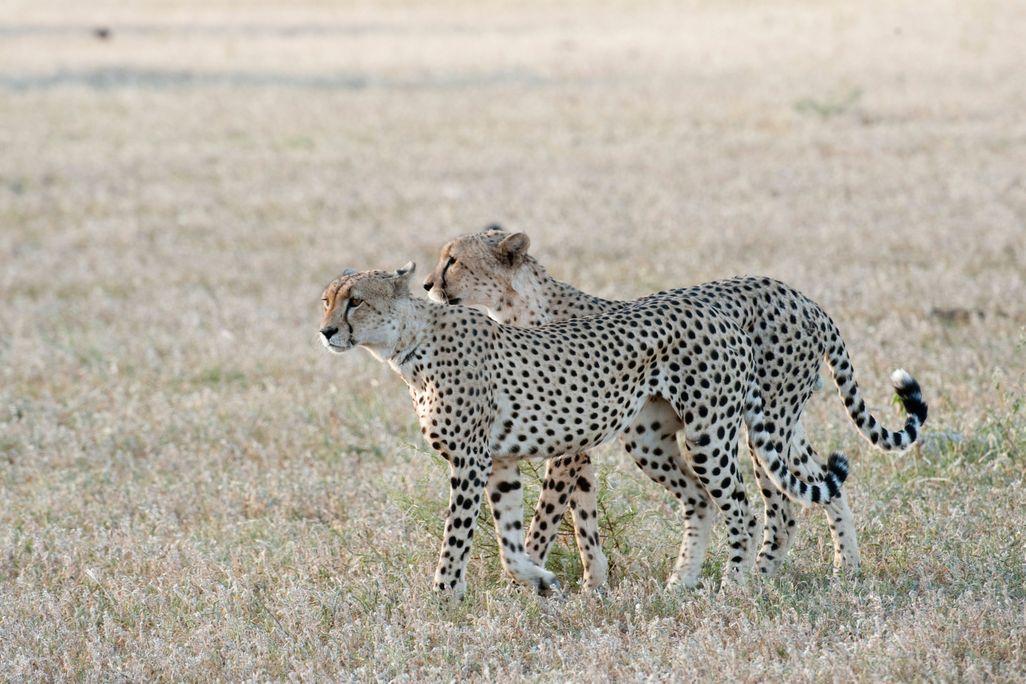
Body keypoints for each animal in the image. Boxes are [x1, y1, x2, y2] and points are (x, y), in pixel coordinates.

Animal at [318, 263, 850, 598]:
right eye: (327, 301)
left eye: (356, 302)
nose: (325, 332)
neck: (407, 343)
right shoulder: (500, 463)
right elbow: (512, 539)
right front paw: (538, 582)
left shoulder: (471, 461)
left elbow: (460, 533)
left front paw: (444, 595)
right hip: (652, 440)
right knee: (709, 500)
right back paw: (682, 584)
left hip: (714, 433)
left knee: (745, 508)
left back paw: (735, 587)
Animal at [422, 226, 928, 585]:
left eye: (454, 260)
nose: (426, 284)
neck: (519, 307)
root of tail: (803, 297)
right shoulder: (578, 448)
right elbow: (584, 519)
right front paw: (593, 584)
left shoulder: (566, 448)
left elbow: (546, 519)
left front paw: (528, 578)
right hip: (769, 427)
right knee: (820, 484)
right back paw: (828, 571)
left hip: (756, 424)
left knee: (777, 507)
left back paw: (755, 581)